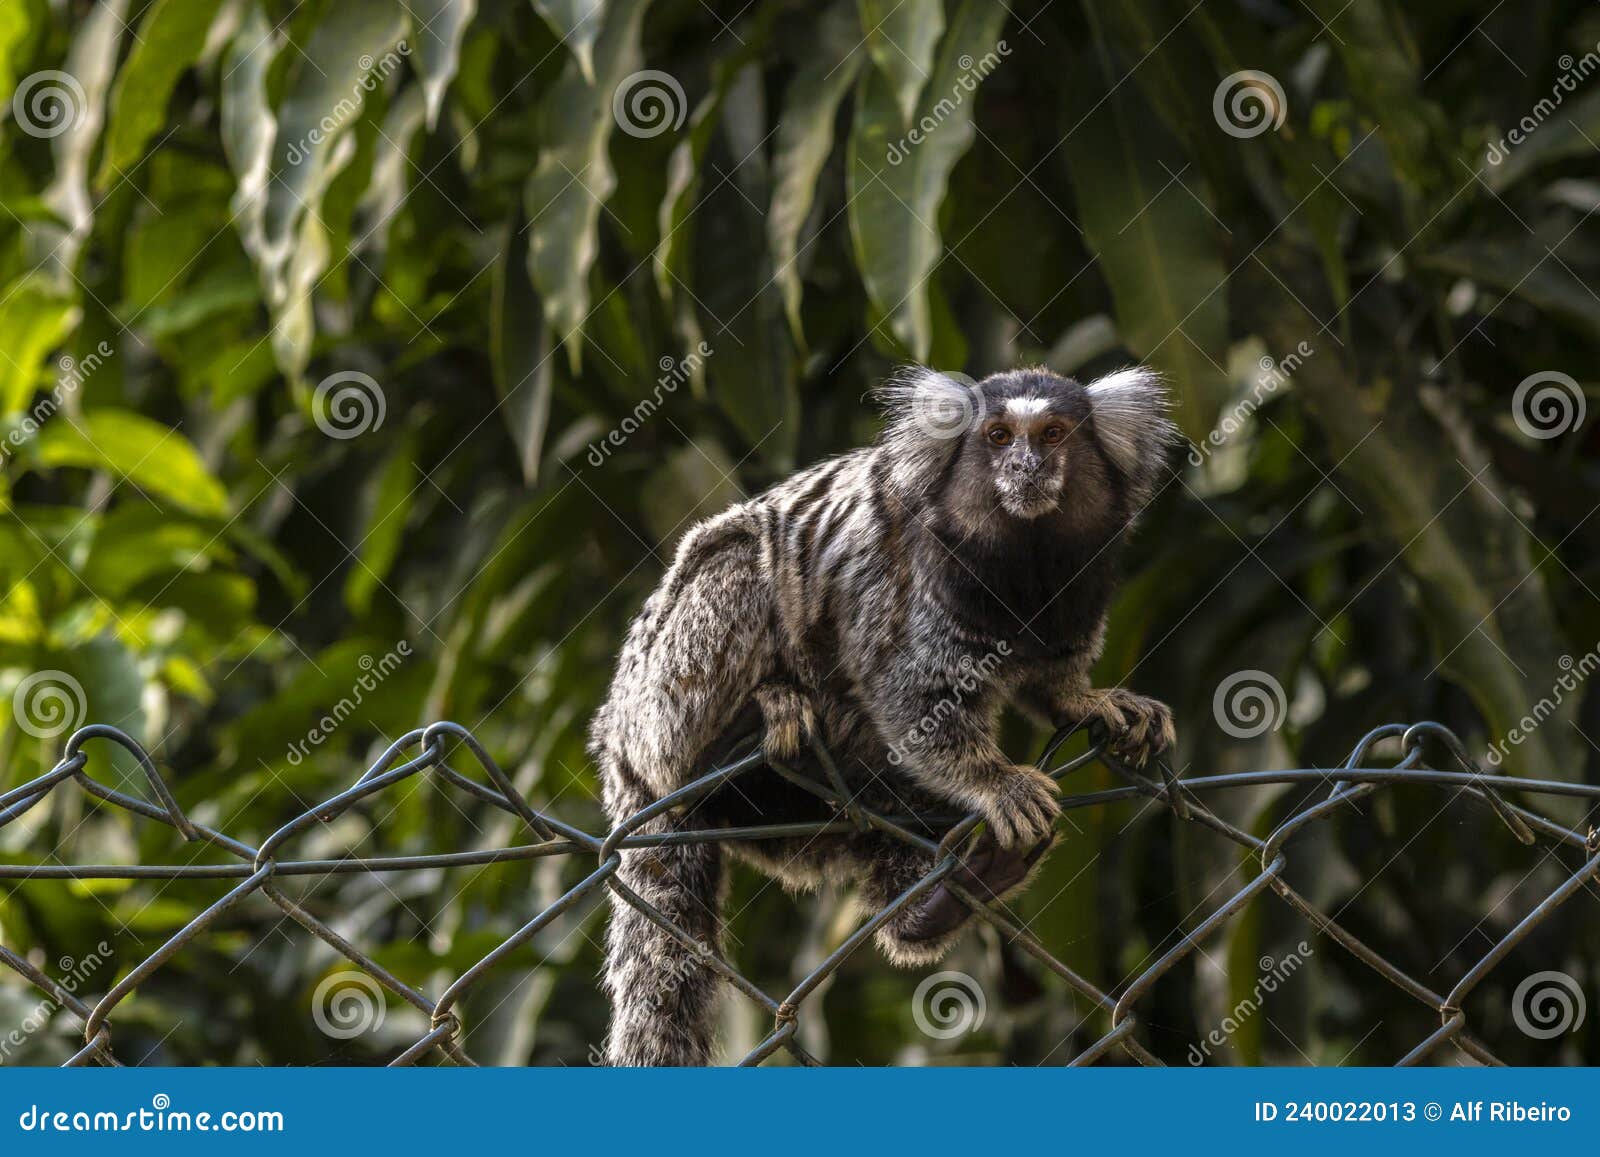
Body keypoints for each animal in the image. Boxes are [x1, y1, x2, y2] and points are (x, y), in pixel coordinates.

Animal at [589, 364, 1179, 1065]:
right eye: (999, 436)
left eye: (1054, 434)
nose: (1027, 467)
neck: (1022, 555)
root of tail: (615, 743)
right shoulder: (911, 582)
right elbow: (909, 693)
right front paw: (996, 782)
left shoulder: (1081, 574)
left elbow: (1052, 679)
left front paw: (1092, 700)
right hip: (661, 695)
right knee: (734, 565)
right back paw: (746, 722)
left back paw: (952, 896)